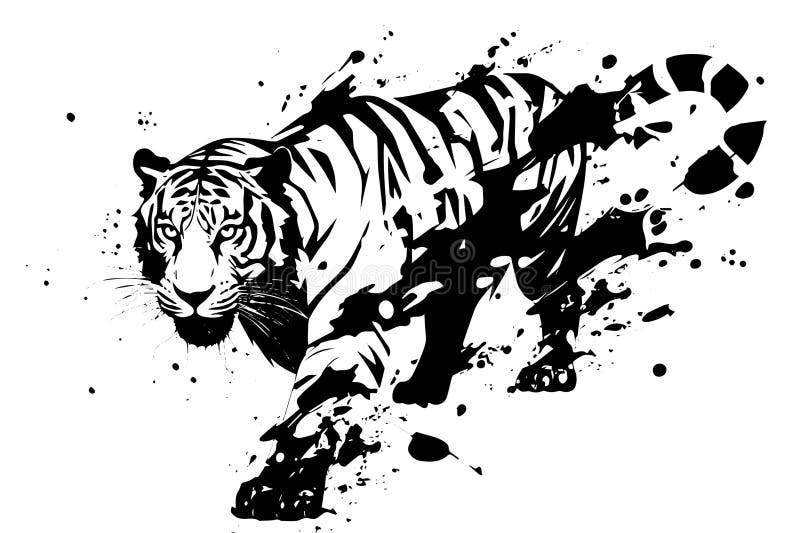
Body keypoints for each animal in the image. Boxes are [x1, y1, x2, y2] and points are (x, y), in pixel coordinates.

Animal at [131, 54, 765, 520]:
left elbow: (311, 410)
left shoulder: (343, 330)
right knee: (456, 310)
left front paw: (279, 492)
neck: (280, 276)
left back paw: (552, 364)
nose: (190, 295)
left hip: (541, 244)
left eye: (228, 230)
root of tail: (552, 88)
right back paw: (425, 388)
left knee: (560, 287)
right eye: (168, 231)